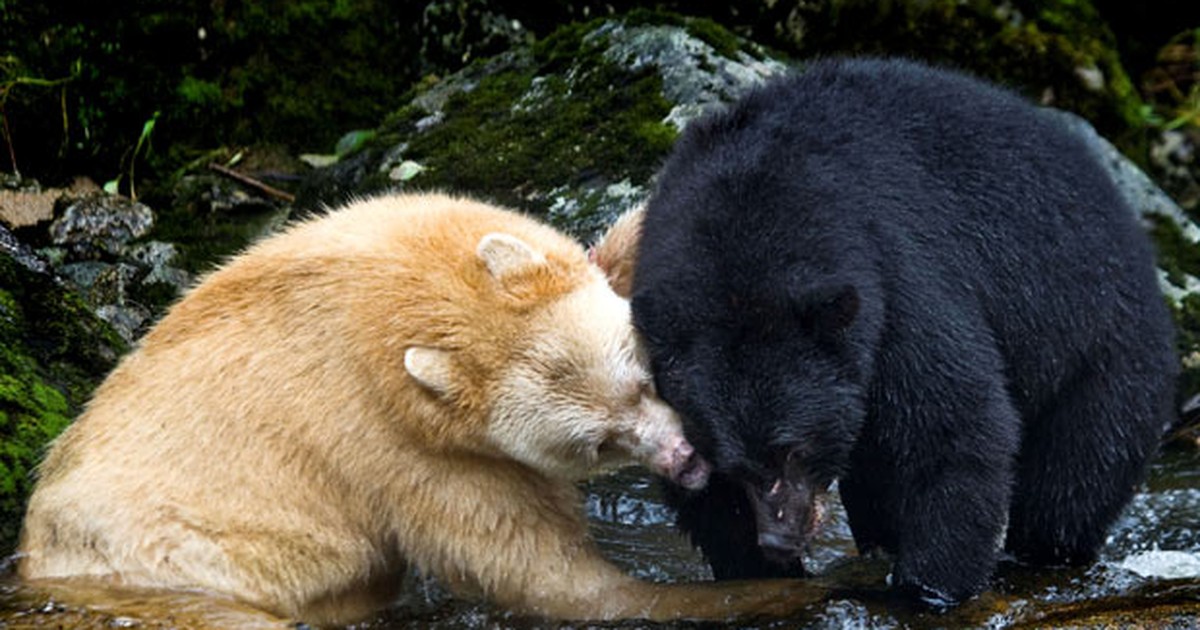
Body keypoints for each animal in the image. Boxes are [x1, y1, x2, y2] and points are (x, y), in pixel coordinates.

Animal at [18, 192, 824, 625]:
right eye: (596, 443)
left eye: (644, 378)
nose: (686, 462)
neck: (402, 289)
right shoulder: (402, 443)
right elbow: (539, 566)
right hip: (184, 571)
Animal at [620, 57, 1179, 606]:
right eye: (733, 464)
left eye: (795, 448)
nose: (779, 538)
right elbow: (703, 495)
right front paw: (755, 570)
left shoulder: (895, 280)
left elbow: (955, 424)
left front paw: (928, 588)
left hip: (1104, 351)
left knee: (1073, 477)